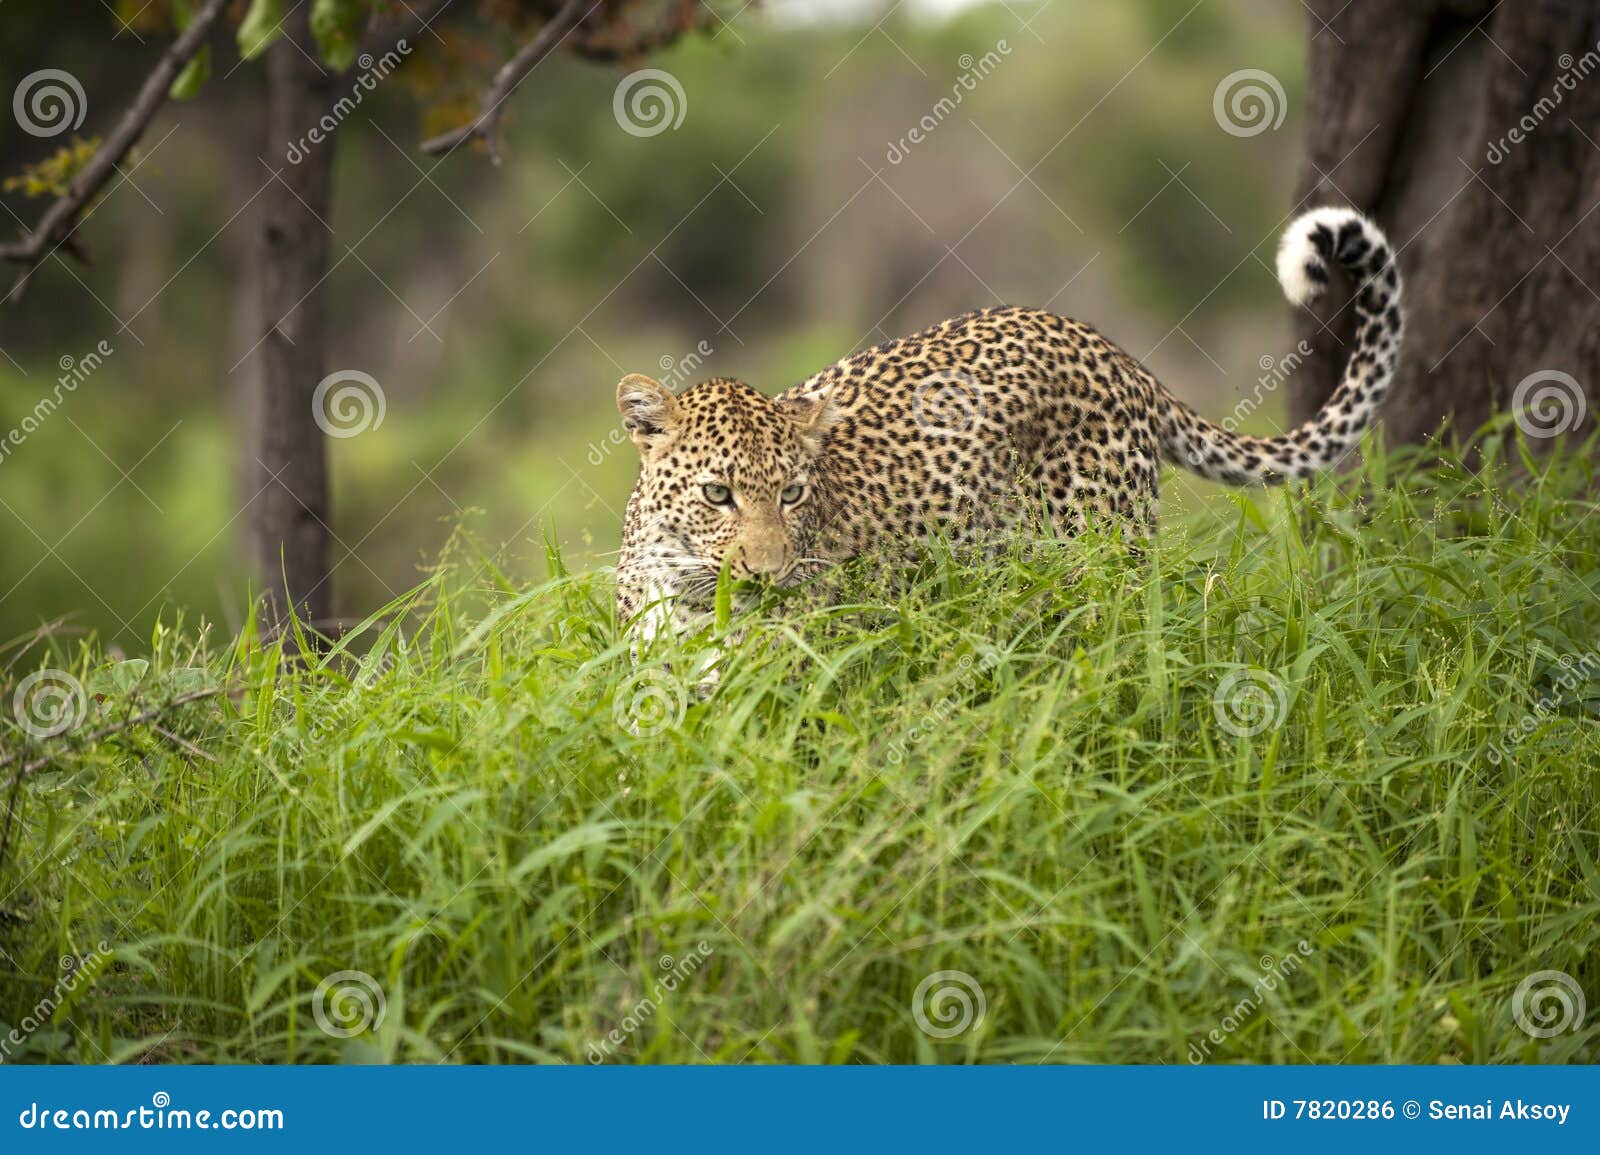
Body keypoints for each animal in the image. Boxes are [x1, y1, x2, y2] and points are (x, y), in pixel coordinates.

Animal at [614, 206, 1404, 649]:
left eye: (793, 495)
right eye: (717, 495)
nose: (771, 574)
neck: (683, 587)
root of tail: (1117, 354)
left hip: (1103, 548)